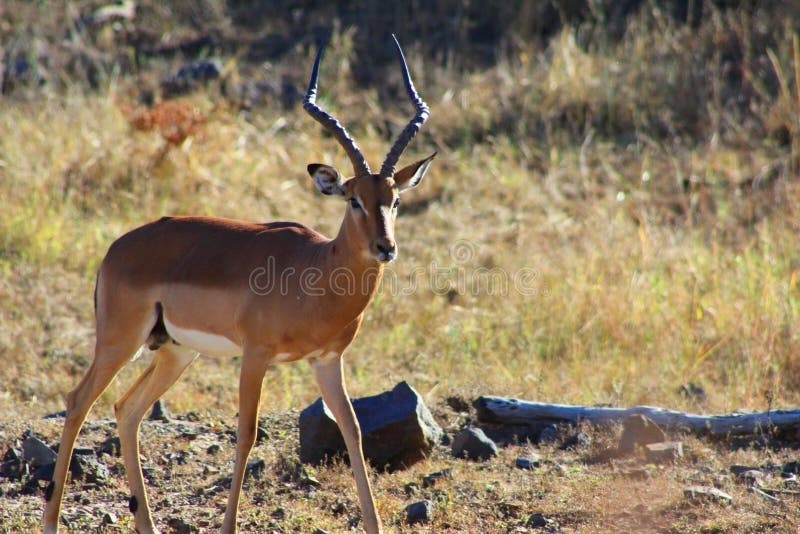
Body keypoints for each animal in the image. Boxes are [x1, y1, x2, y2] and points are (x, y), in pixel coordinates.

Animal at [43, 35, 433, 534]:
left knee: (126, 410)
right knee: (78, 402)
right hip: (119, 342)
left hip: (175, 352)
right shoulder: (255, 355)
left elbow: (353, 431)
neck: (314, 272)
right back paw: (52, 519)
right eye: (353, 200)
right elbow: (246, 434)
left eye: (395, 200)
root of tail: (116, 248)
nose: (386, 247)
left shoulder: (327, 360)